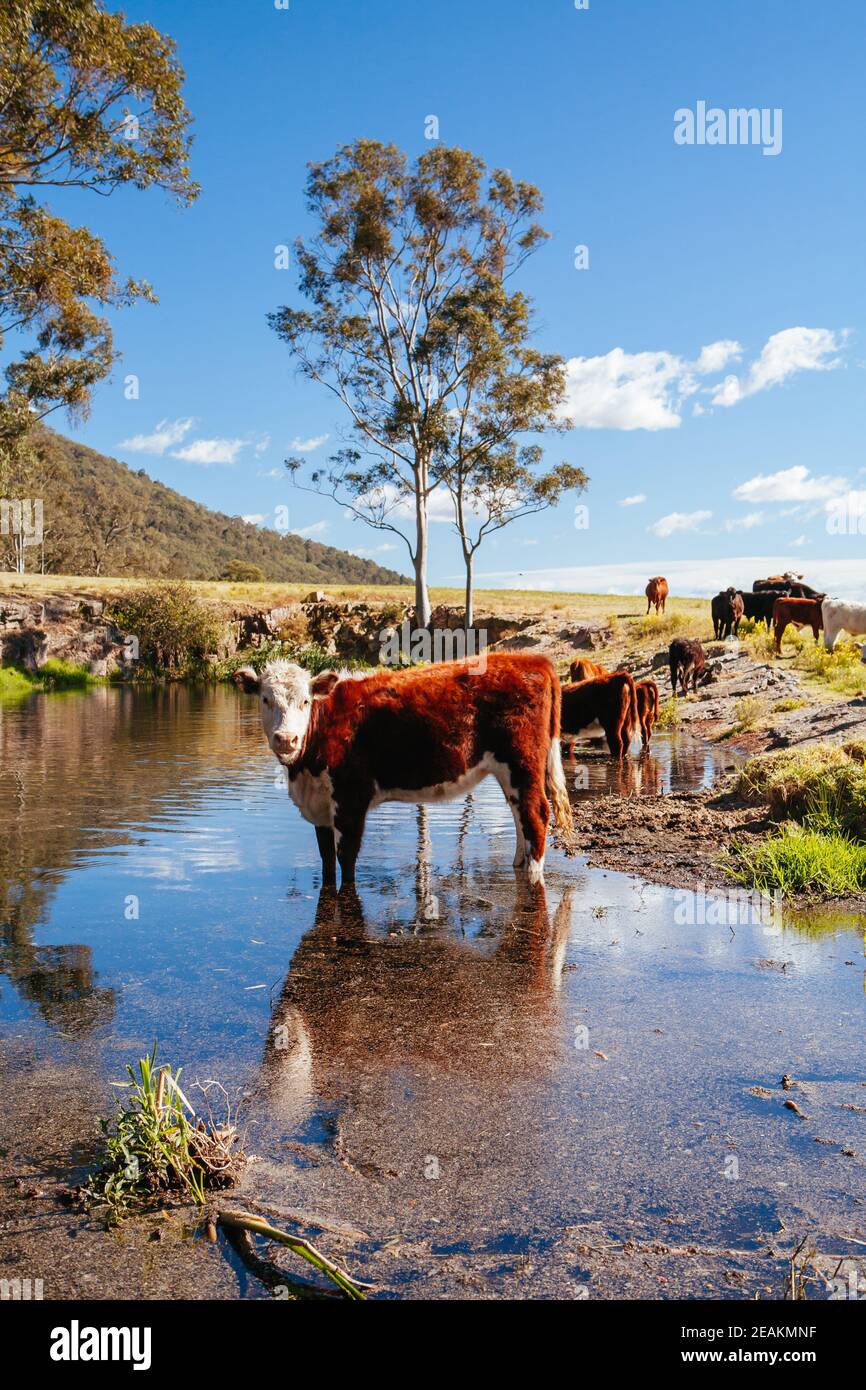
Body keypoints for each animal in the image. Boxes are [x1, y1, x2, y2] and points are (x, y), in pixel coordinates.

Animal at [233, 653, 572, 887]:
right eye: (265, 699)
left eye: (305, 701)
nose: (286, 739)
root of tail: (533, 659)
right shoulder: (320, 806)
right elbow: (327, 860)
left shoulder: (351, 798)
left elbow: (346, 859)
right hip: (508, 771)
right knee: (520, 815)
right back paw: (518, 864)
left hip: (523, 762)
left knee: (536, 814)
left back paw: (533, 873)